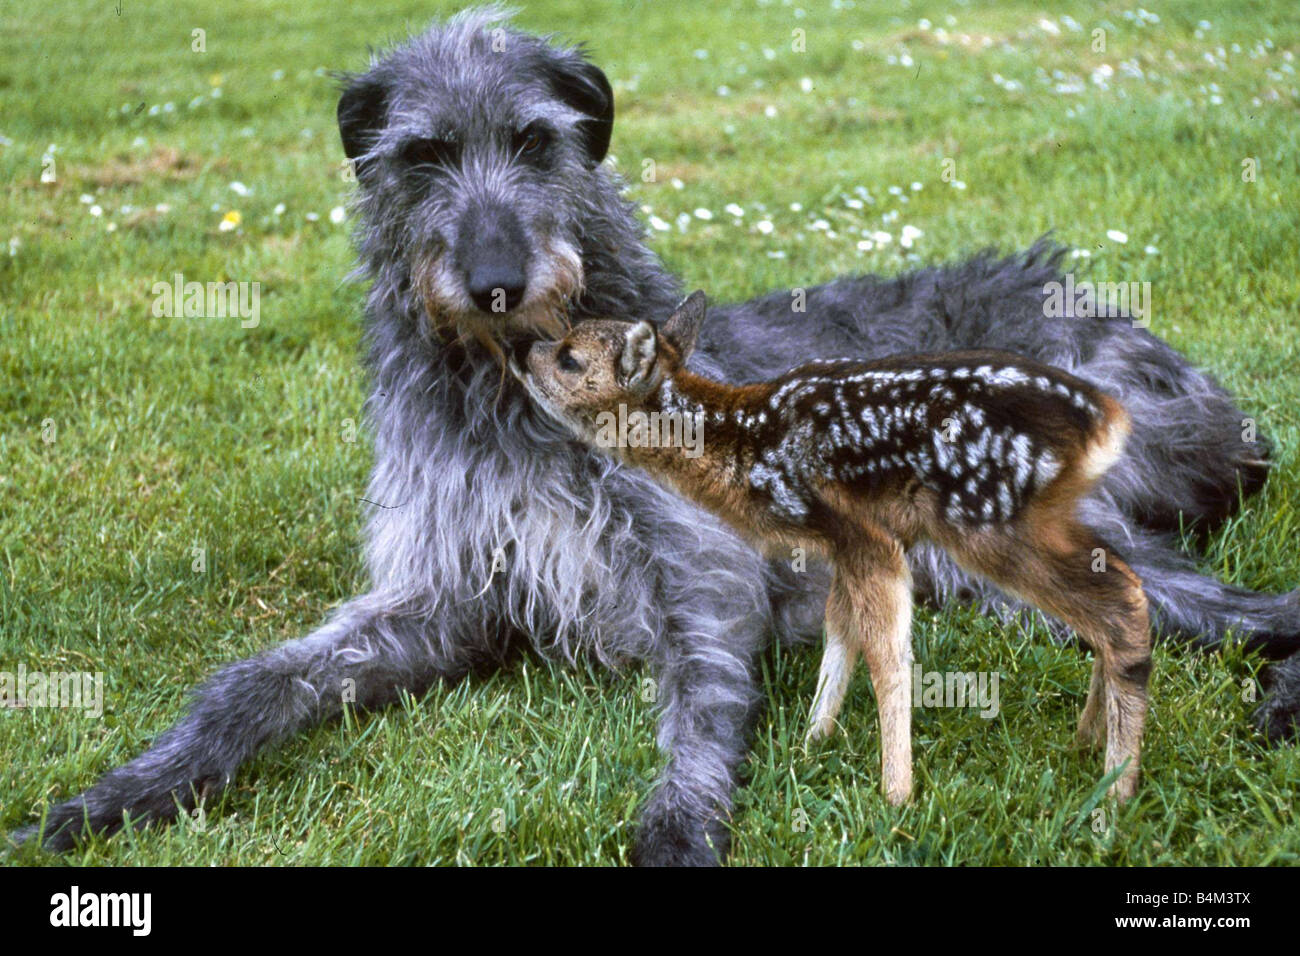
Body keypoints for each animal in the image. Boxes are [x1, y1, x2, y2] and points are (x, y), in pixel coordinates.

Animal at [511, 291, 1152, 806]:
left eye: (569, 356)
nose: (524, 350)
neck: (750, 450)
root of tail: (1108, 421)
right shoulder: (847, 544)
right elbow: (839, 633)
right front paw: (811, 742)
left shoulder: (866, 537)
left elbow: (886, 656)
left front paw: (896, 795)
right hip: (1044, 521)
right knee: (1123, 584)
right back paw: (1085, 744)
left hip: (990, 524)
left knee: (1120, 606)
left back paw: (1115, 792)